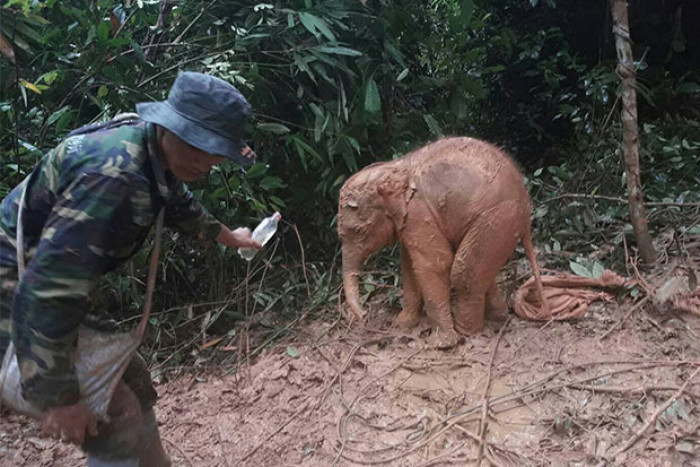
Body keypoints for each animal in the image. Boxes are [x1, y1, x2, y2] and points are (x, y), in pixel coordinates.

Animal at [338, 137, 546, 348]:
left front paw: (441, 344)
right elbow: (409, 266)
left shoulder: (419, 213)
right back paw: (498, 317)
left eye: (359, 231)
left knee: (463, 271)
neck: (392, 168)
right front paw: (402, 325)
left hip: (500, 217)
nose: (364, 315)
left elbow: (434, 264)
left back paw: (468, 332)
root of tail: (527, 210)